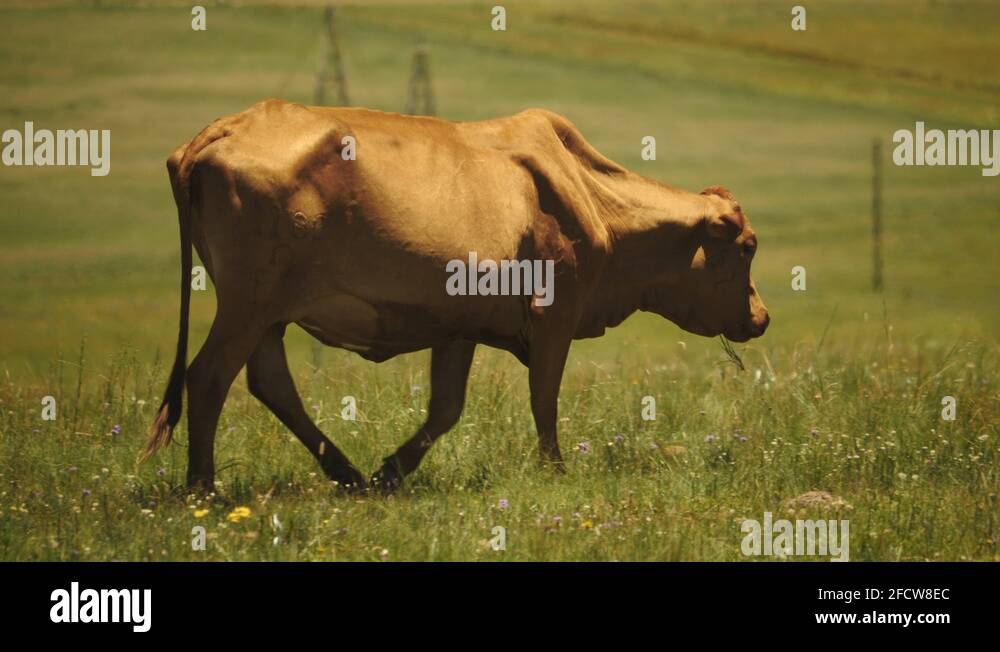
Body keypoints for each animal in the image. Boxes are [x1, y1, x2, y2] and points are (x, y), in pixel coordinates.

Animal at [143, 99, 769, 494]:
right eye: (748, 247)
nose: (762, 317)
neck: (593, 199)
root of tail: (224, 129)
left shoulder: (459, 325)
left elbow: (446, 408)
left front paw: (390, 474)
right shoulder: (555, 312)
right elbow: (544, 398)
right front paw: (555, 473)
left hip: (266, 313)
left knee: (269, 382)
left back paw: (350, 476)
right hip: (248, 303)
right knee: (209, 377)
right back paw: (203, 488)